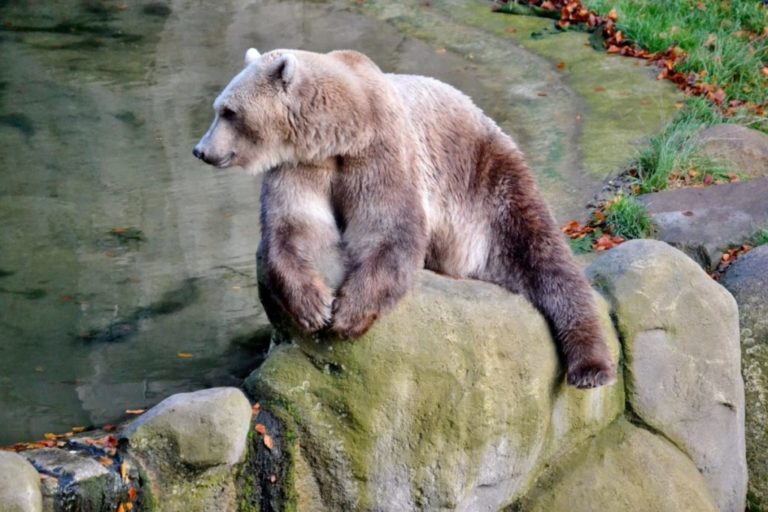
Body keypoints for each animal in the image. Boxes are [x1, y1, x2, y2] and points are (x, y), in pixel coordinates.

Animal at [193, 48, 616, 389]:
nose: (200, 150)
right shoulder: (303, 164)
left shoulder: (380, 152)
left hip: (485, 178)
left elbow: (389, 228)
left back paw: (591, 365)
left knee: (538, 250)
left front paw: (348, 313)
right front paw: (313, 304)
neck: (340, 130)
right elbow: (295, 227)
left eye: (228, 111)